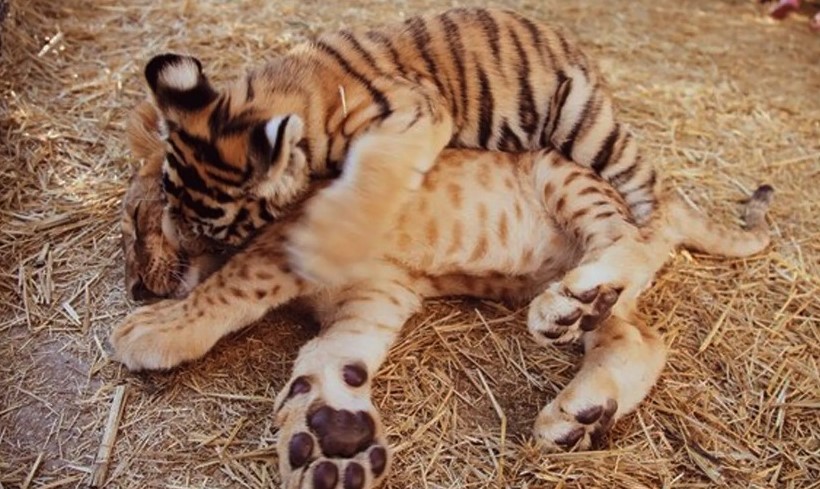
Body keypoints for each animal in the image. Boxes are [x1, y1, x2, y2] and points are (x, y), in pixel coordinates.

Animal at [113, 101, 774, 489]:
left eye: (133, 222)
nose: (135, 288)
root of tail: (669, 202)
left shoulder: (294, 238)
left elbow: (234, 284)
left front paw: (157, 328)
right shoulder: (381, 292)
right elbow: (329, 356)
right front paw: (332, 441)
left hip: (566, 176)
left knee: (626, 247)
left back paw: (567, 304)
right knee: (639, 337)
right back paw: (580, 413)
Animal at [143, 7, 660, 287]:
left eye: (218, 236)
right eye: (167, 201)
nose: (179, 261)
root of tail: (567, 39)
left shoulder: (413, 113)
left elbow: (374, 176)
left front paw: (322, 251)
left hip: (585, 126)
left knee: (647, 185)